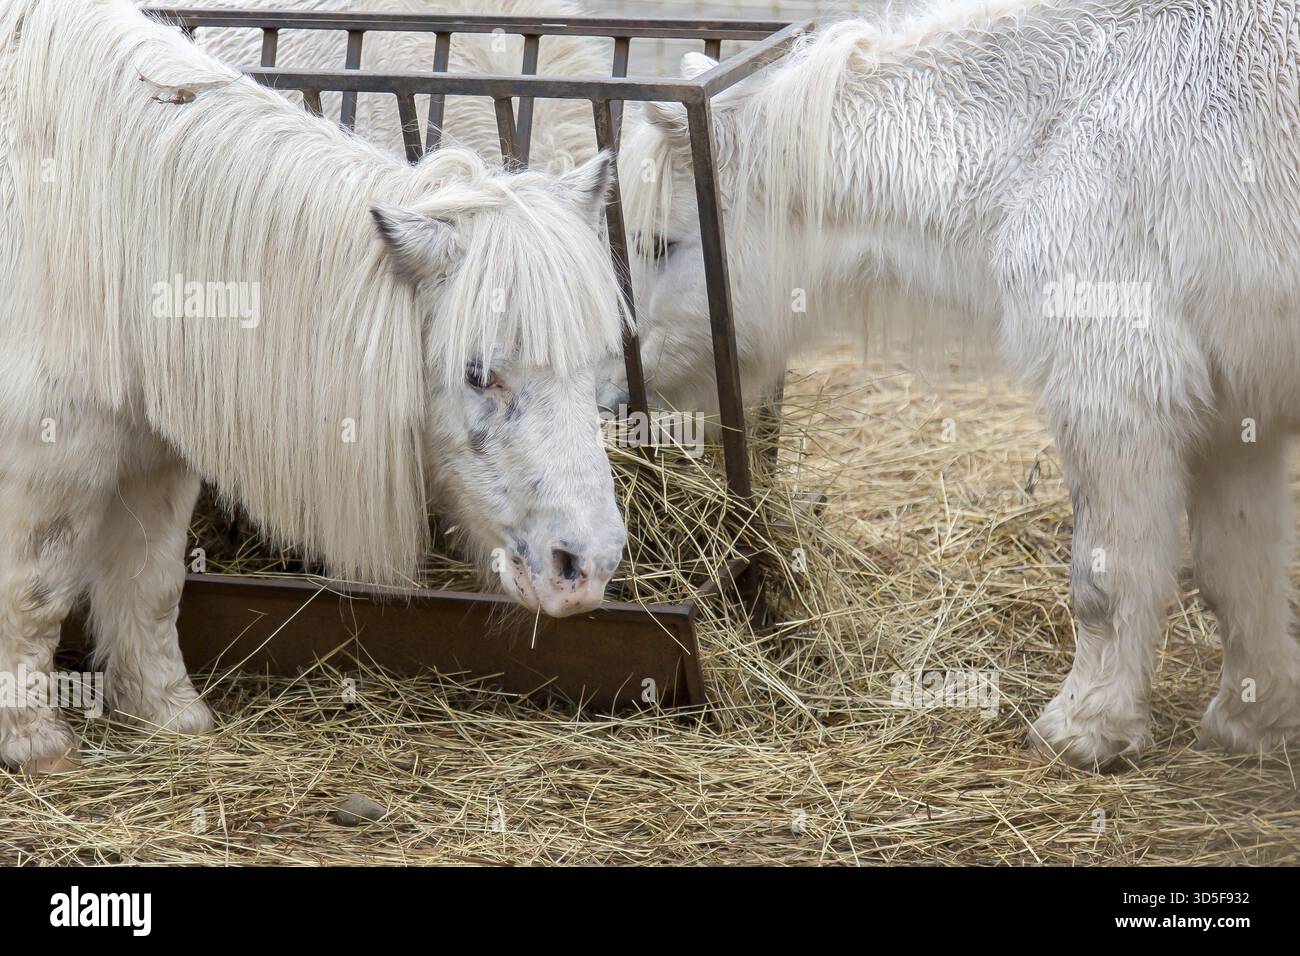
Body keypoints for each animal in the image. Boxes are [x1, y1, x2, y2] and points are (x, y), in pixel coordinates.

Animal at [0, 0, 628, 772]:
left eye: (593, 364)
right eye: (479, 372)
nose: (586, 568)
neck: (110, 226)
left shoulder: (155, 461)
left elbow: (152, 585)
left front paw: (170, 714)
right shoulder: (43, 467)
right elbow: (34, 594)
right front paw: (35, 742)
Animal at [618, 0, 1300, 768]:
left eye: (658, 243)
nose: (618, 396)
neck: (1051, 135)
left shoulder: (1112, 393)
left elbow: (1106, 580)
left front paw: (1084, 729)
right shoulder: (1236, 415)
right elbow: (1237, 571)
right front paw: (1254, 720)